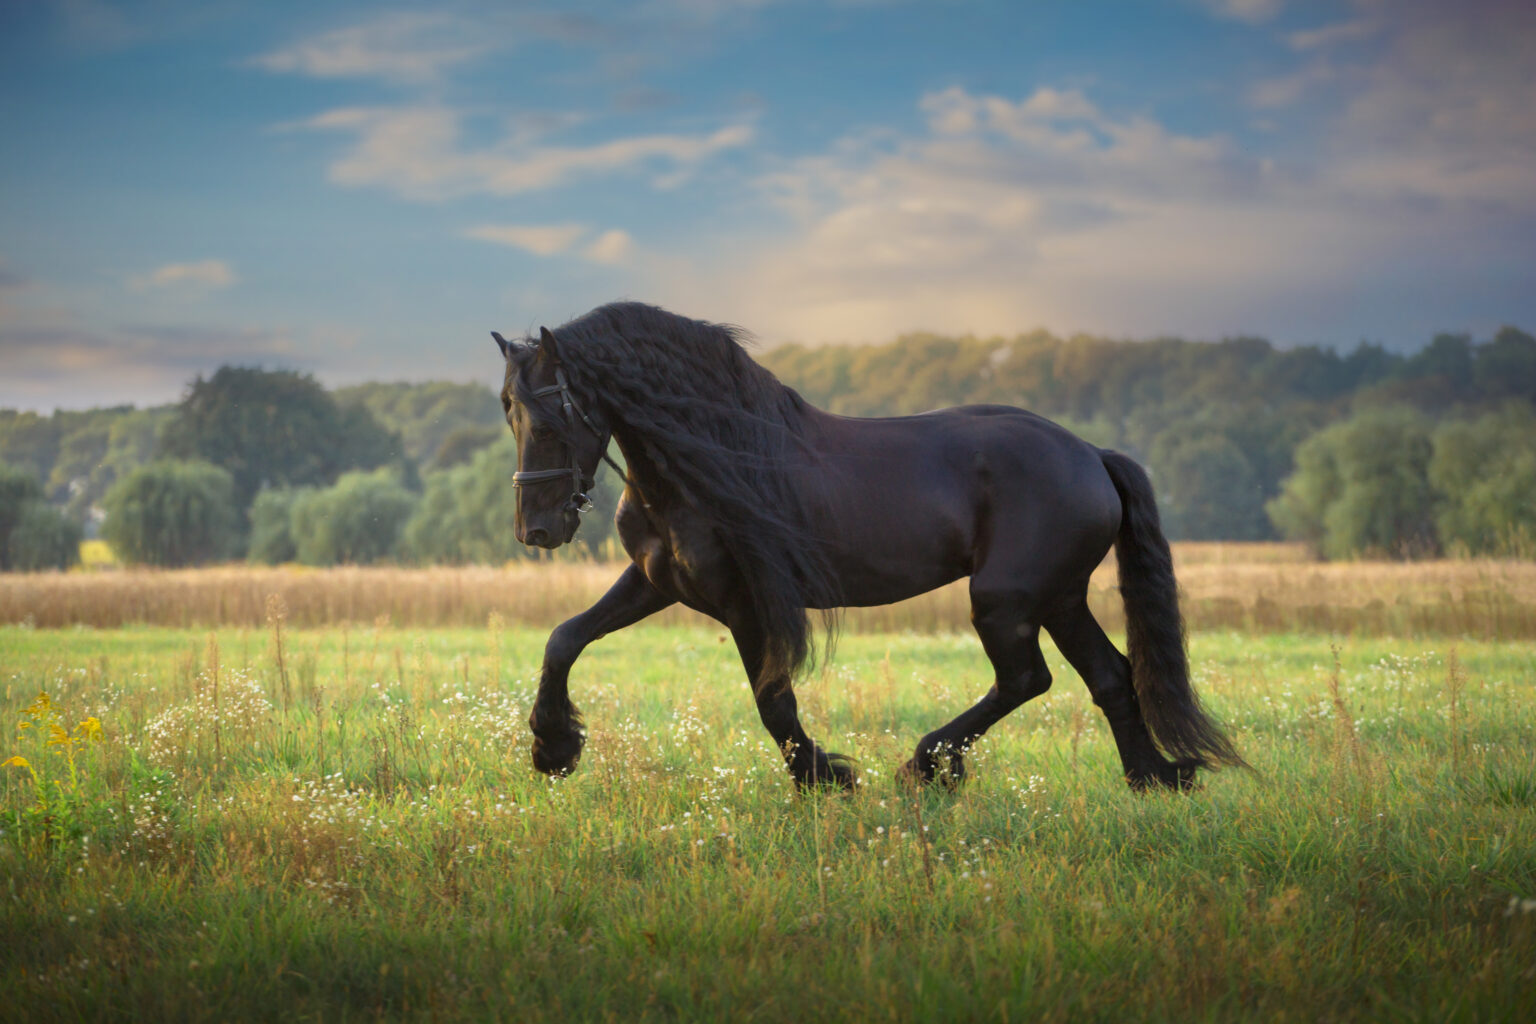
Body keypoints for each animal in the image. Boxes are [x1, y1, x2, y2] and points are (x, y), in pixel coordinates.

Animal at [493, 302, 1245, 791]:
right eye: (508, 411)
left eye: (555, 412)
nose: (537, 530)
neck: (707, 458)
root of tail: (1091, 455)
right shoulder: (656, 582)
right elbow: (564, 638)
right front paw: (553, 748)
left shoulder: (746, 601)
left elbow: (773, 700)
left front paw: (824, 778)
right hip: (1057, 596)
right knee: (1110, 676)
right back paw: (1154, 779)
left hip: (1006, 599)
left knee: (1027, 679)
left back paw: (927, 764)